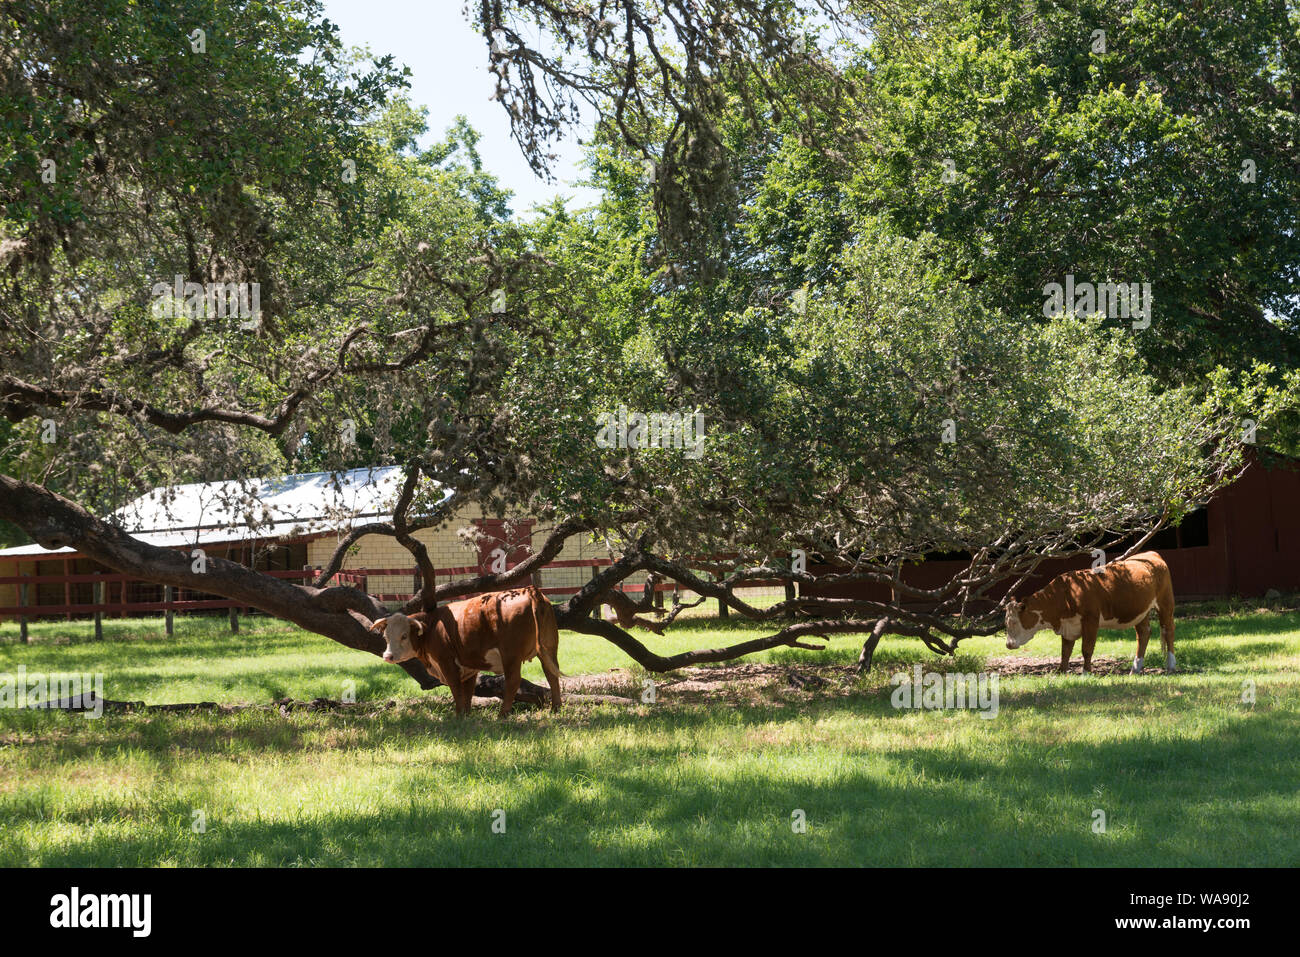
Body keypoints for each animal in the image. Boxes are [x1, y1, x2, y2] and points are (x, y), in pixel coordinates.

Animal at [368, 585, 562, 717]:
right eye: (386, 636)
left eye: (403, 636)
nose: (388, 656)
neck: (433, 625)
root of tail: (528, 590)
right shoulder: (469, 666)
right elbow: (468, 691)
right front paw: (467, 714)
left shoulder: (446, 661)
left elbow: (456, 688)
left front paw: (458, 715)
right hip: (549, 649)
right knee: (552, 676)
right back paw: (556, 708)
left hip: (510, 655)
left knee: (513, 681)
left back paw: (502, 715)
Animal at [1003, 551, 1176, 675]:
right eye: (1006, 622)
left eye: (1014, 622)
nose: (1008, 644)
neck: (1065, 593)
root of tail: (1151, 554)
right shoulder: (1068, 626)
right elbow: (1065, 651)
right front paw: (1061, 672)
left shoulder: (1091, 620)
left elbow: (1086, 649)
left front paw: (1086, 673)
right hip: (1141, 610)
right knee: (1143, 633)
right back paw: (1135, 669)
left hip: (1165, 603)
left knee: (1168, 631)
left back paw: (1171, 665)